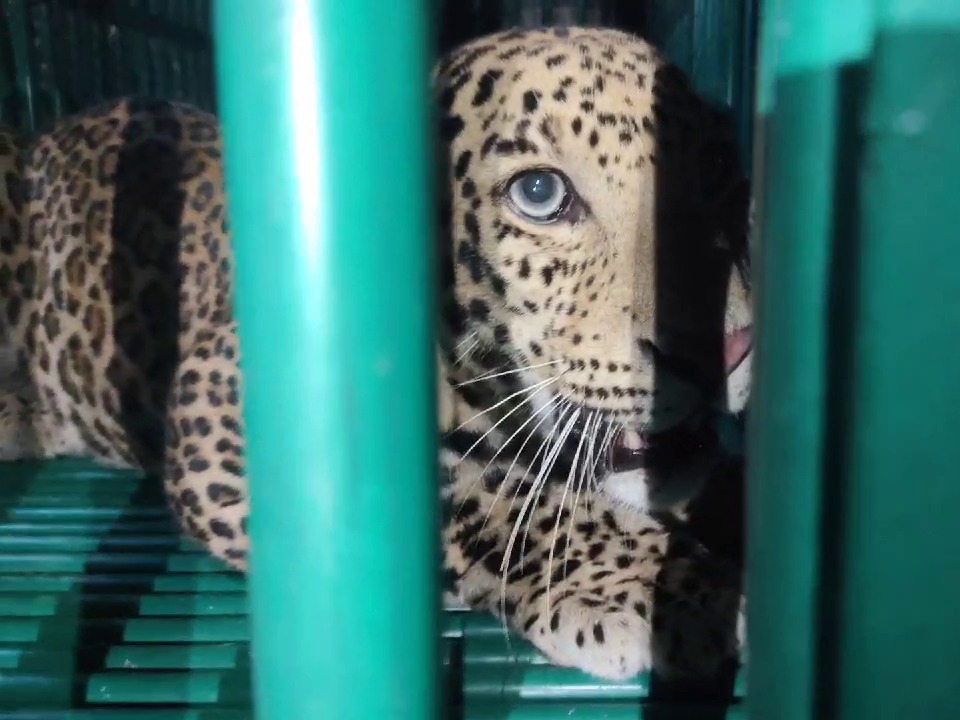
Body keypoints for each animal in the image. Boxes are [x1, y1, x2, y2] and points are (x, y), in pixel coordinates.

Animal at [0, 26, 753, 683]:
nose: (729, 348)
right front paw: (670, 588)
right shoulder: (221, 411)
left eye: (720, 165)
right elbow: (488, 496)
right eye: (539, 194)